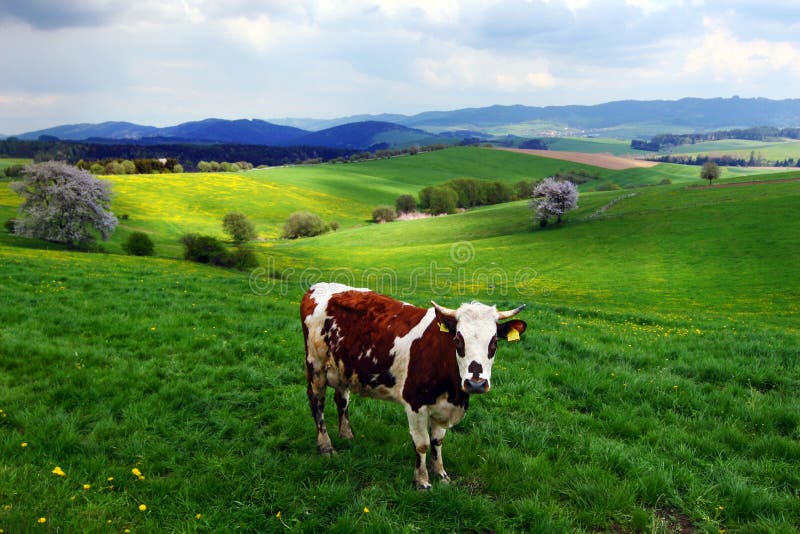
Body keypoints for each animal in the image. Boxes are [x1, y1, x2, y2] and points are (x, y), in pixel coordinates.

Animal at [300, 284, 524, 490]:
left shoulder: (443, 406)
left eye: (494, 342)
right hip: (316, 366)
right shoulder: (415, 403)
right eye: (458, 340)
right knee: (317, 403)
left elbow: (437, 441)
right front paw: (422, 481)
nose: (476, 383)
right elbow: (422, 443)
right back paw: (326, 446)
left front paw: (441, 474)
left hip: (343, 369)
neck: (454, 394)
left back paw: (347, 435)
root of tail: (319, 287)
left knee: (342, 400)